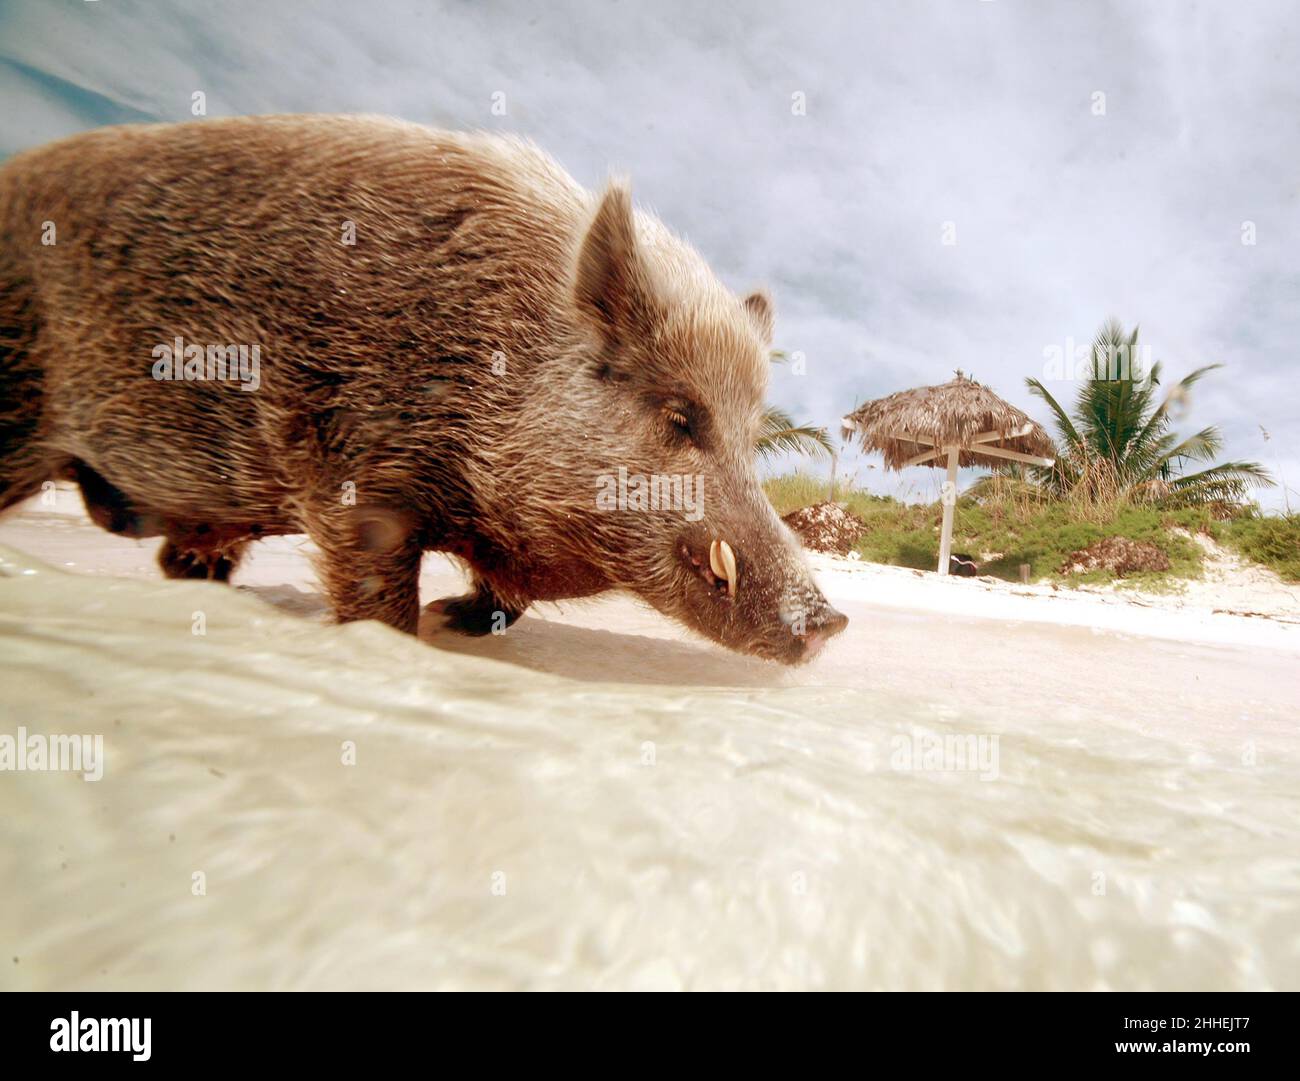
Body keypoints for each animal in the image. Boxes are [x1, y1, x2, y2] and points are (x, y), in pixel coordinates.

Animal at [0, 115, 847, 662]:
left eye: (752, 433)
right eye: (679, 414)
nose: (830, 620)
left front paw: (454, 618)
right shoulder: (345, 462)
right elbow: (374, 586)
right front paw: (413, 636)